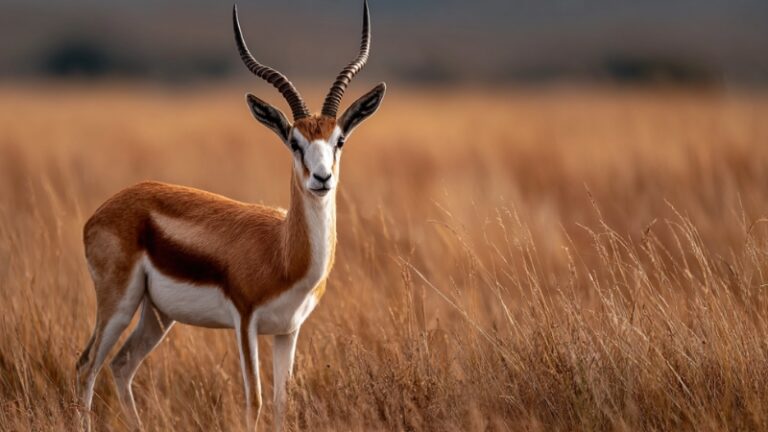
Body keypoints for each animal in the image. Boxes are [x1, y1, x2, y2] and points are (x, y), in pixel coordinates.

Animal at [74, 1, 385, 430]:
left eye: (338, 140)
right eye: (294, 142)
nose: (321, 178)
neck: (282, 251)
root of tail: (102, 211)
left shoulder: (288, 331)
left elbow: (281, 402)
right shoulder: (245, 322)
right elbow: (254, 401)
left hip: (157, 314)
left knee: (120, 365)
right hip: (119, 304)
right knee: (87, 366)